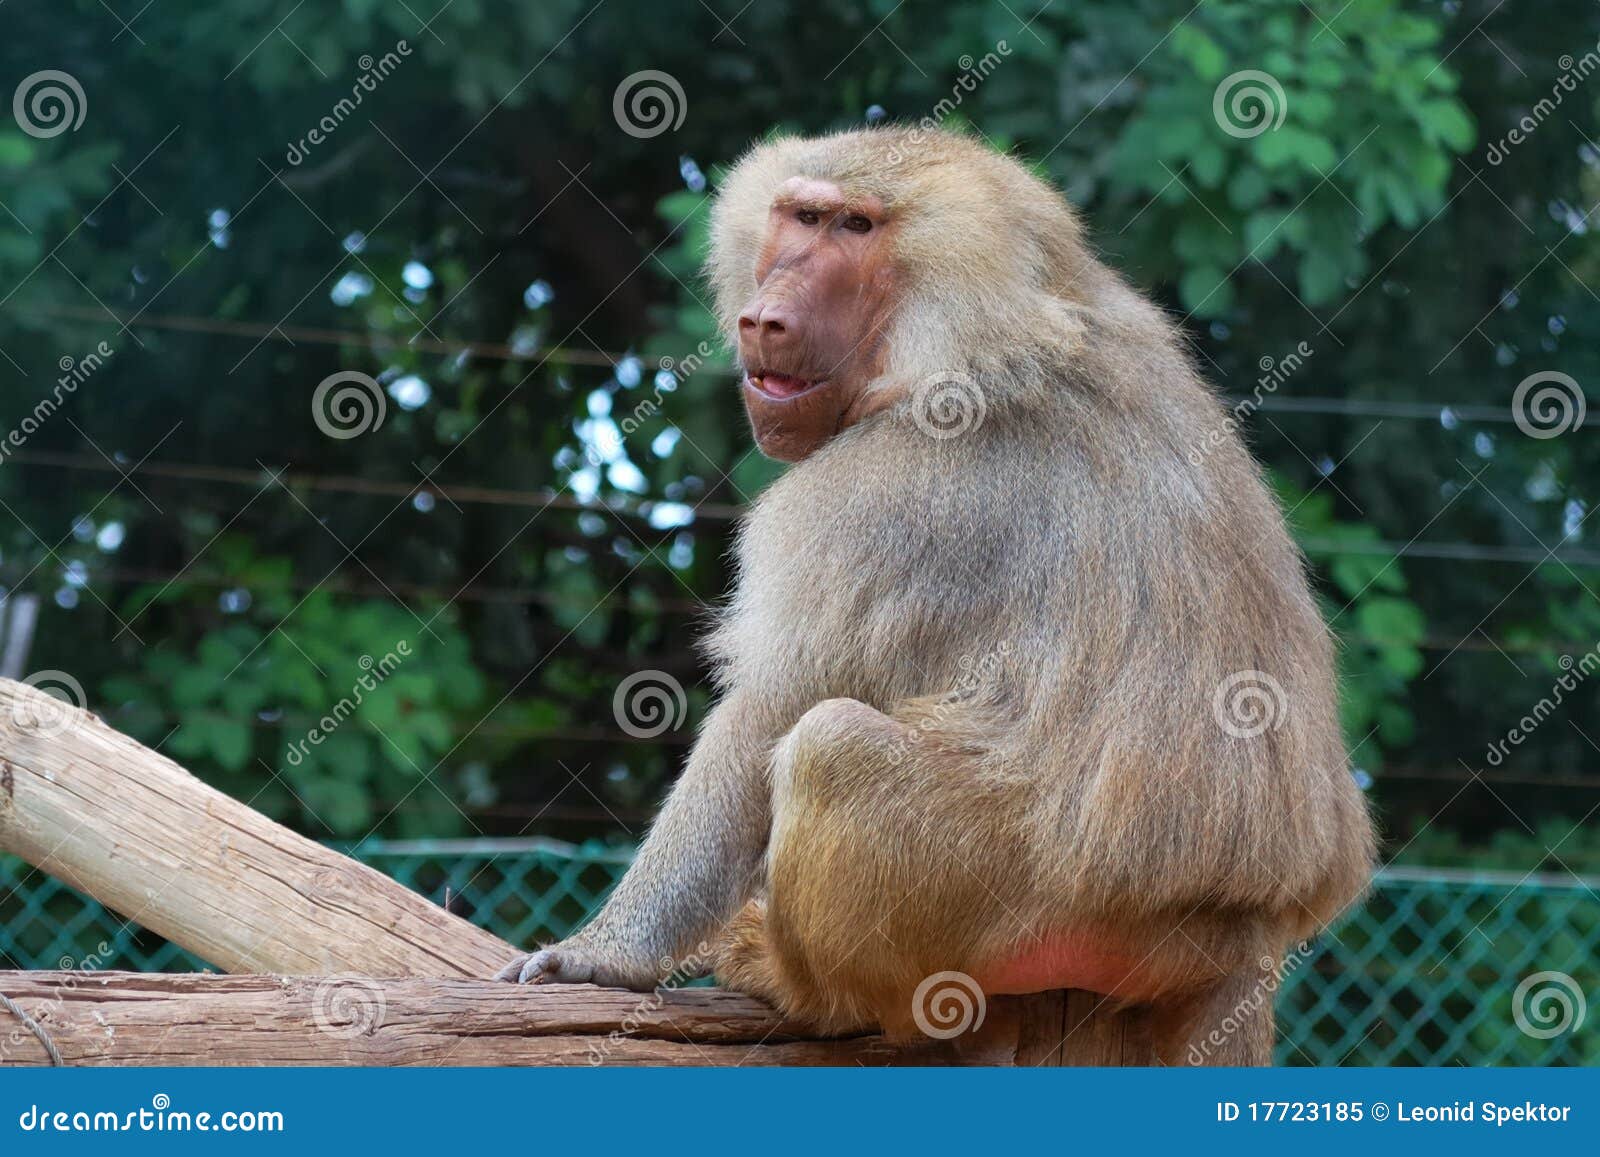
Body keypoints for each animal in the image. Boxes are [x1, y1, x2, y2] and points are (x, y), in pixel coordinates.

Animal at [497, 127, 1375, 1066]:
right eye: (798, 217)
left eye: (854, 226)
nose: (764, 317)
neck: (978, 337)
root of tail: (1248, 927)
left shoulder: (869, 502)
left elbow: (765, 715)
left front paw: (601, 955)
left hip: (1025, 891)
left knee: (830, 748)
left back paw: (802, 989)